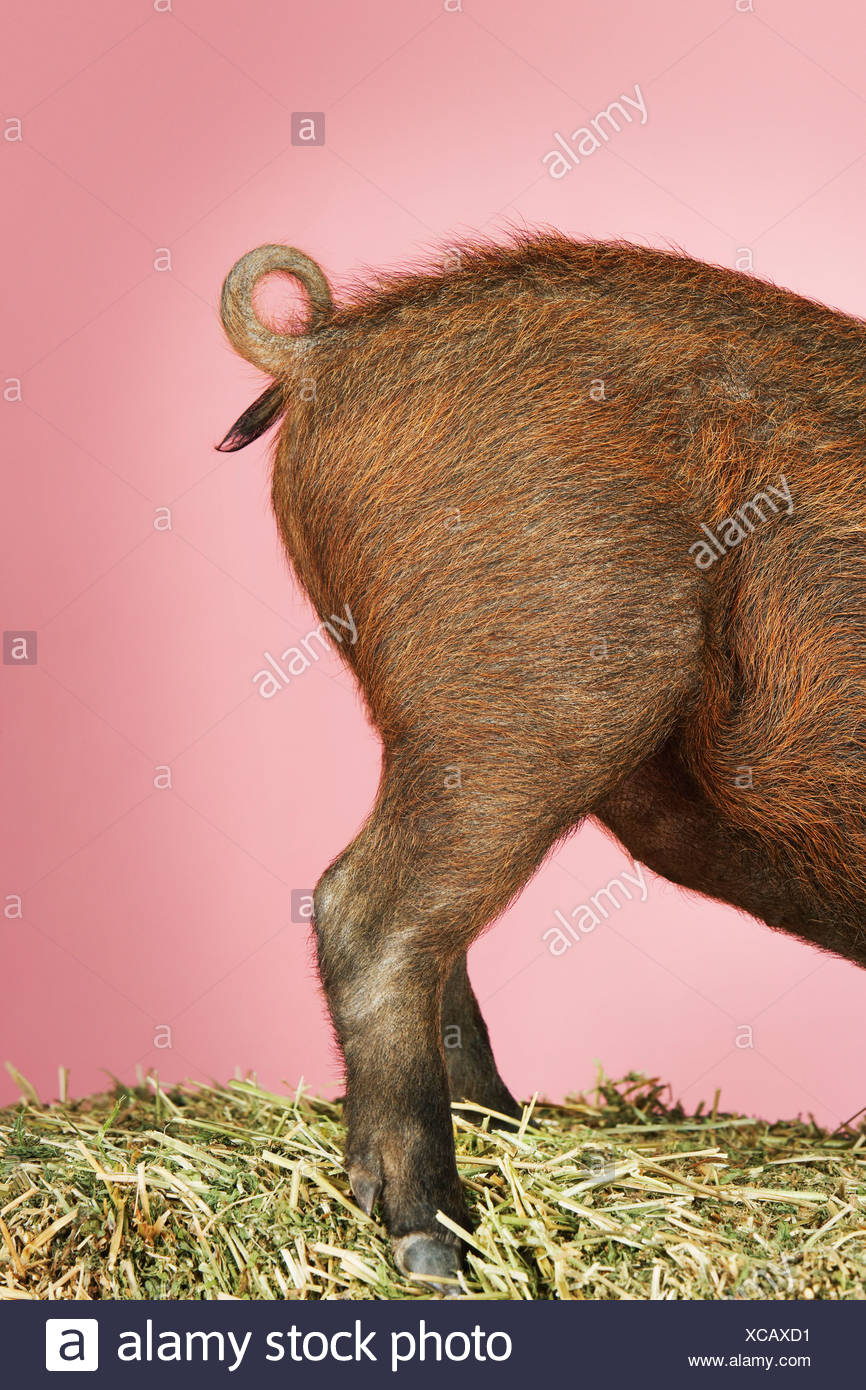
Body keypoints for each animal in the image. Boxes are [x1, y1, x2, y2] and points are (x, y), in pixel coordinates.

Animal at [217, 233, 866, 1282]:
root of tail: (322, 353)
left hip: (451, 728)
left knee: (435, 935)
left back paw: (511, 1130)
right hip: (534, 698)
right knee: (367, 909)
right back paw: (438, 1241)